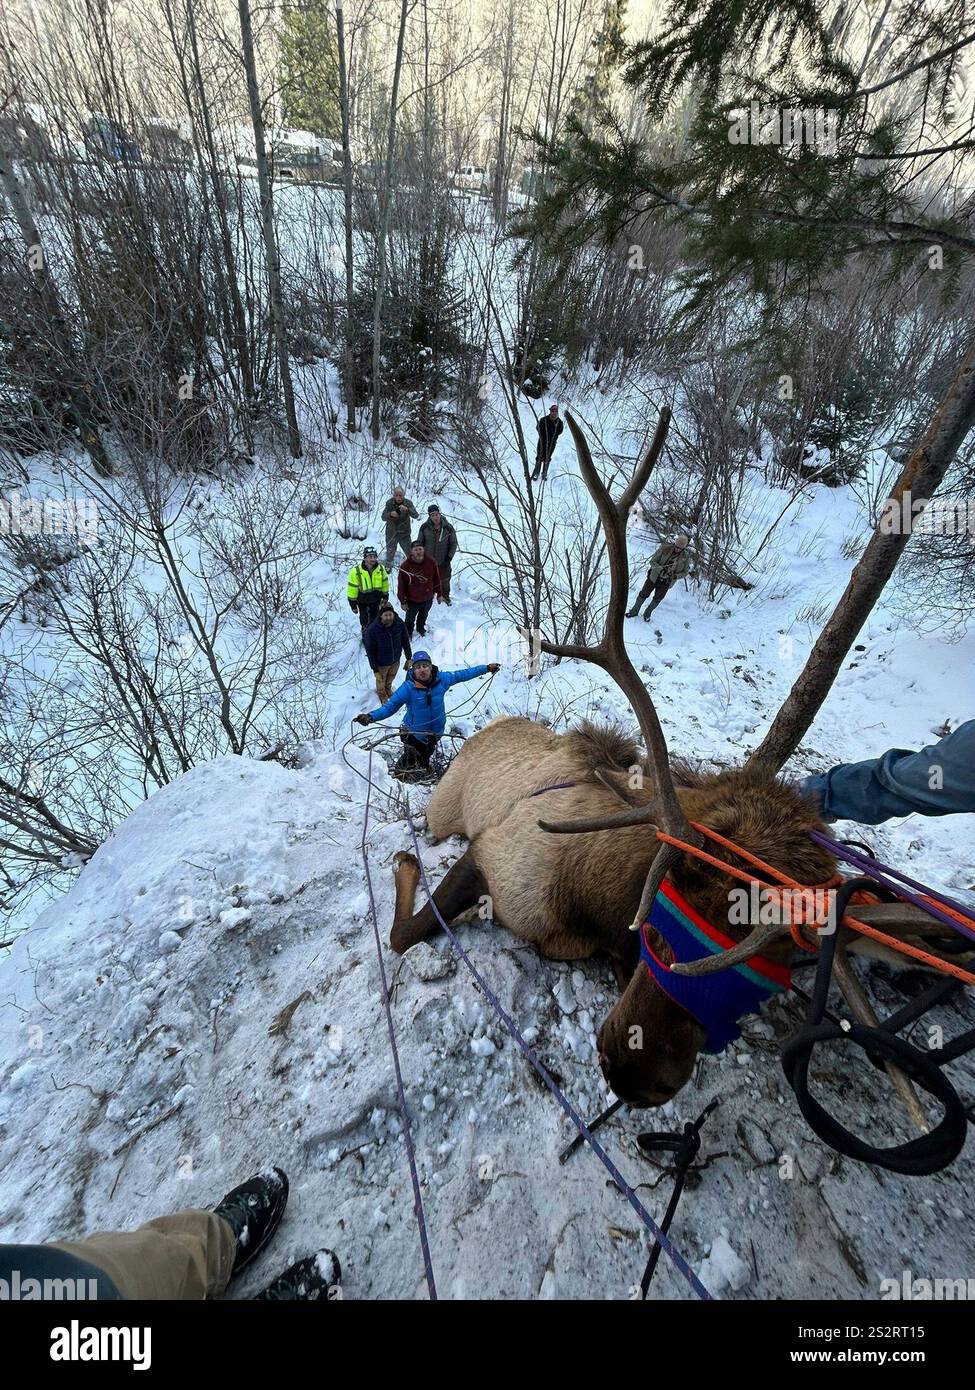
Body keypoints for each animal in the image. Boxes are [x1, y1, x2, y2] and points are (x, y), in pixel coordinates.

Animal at [390, 409, 964, 1120]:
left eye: (777, 971)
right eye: (663, 920)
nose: (635, 1075)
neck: (591, 897)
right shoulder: (493, 854)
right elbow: (405, 933)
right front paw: (406, 870)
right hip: (444, 809)